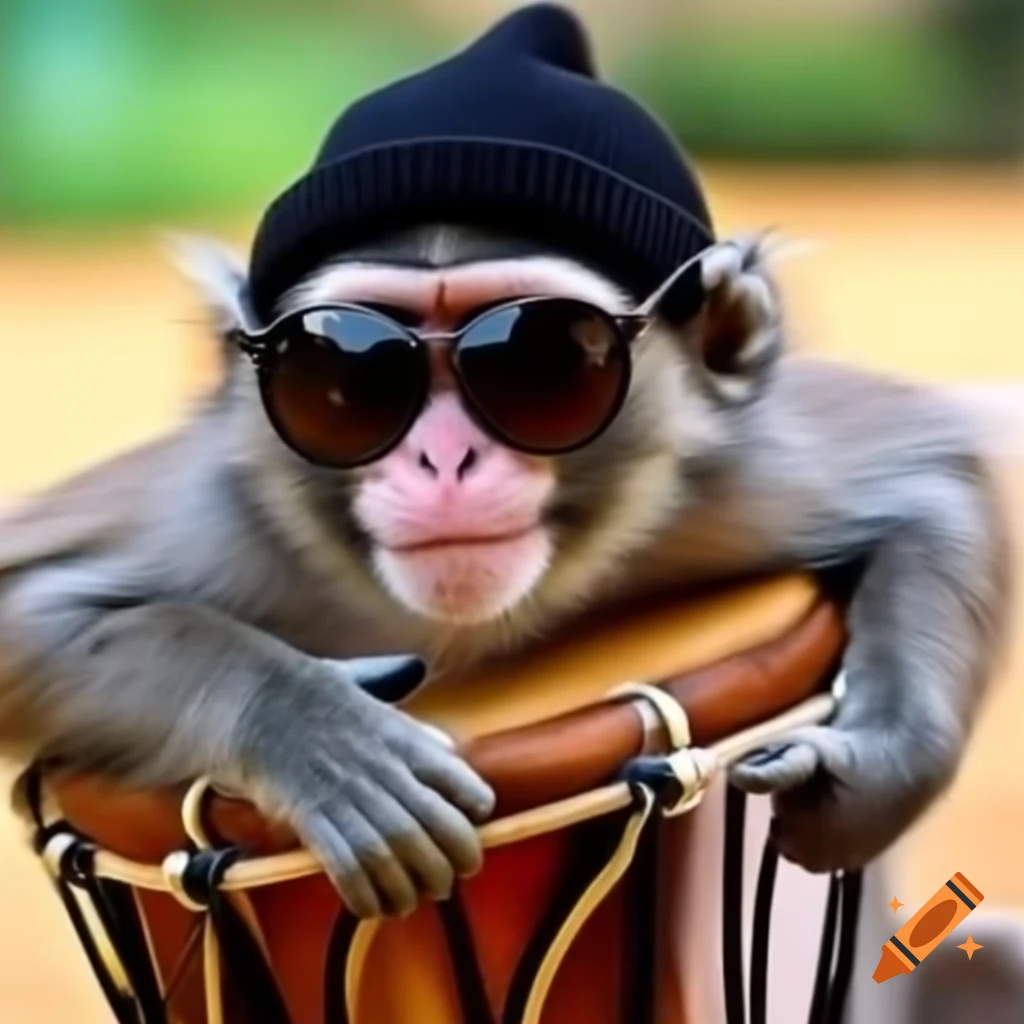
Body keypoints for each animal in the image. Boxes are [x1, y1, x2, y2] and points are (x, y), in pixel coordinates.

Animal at [0, 223, 1011, 924]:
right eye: (336, 370)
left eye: (548, 356)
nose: (444, 459)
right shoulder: (226, 523)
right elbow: (21, 604)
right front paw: (315, 733)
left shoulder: (736, 486)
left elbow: (930, 470)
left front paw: (877, 764)